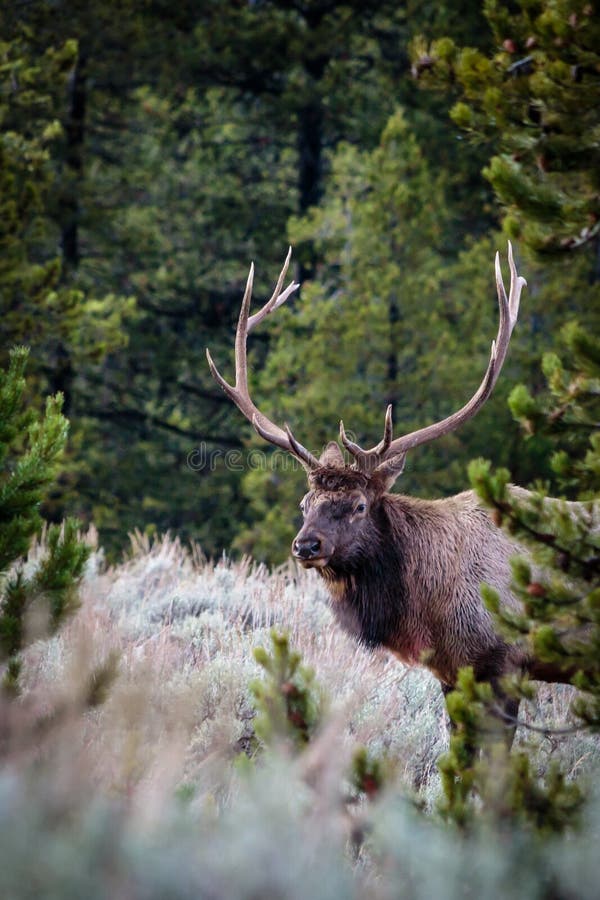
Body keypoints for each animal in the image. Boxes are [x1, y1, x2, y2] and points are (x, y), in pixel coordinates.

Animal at [206, 244, 575, 734]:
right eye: (305, 502)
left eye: (360, 505)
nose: (306, 545)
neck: (432, 612)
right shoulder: (452, 673)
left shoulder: (506, 662)